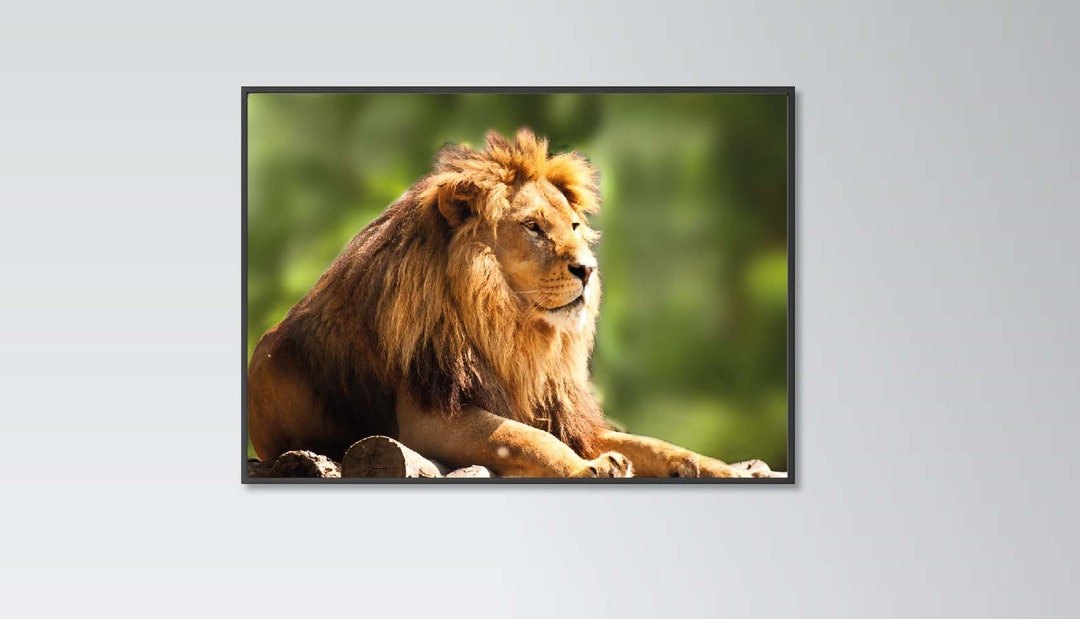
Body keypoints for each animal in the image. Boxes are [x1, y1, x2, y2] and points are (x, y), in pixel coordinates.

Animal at [248, 129, 773, 478]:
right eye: (534, 227)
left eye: (574, 226)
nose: (588, 269)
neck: (513, 329)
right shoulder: (430, 418)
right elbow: (523, 438)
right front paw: (588, 468)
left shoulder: (564, 411)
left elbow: (655, 444)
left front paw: (728, 468)